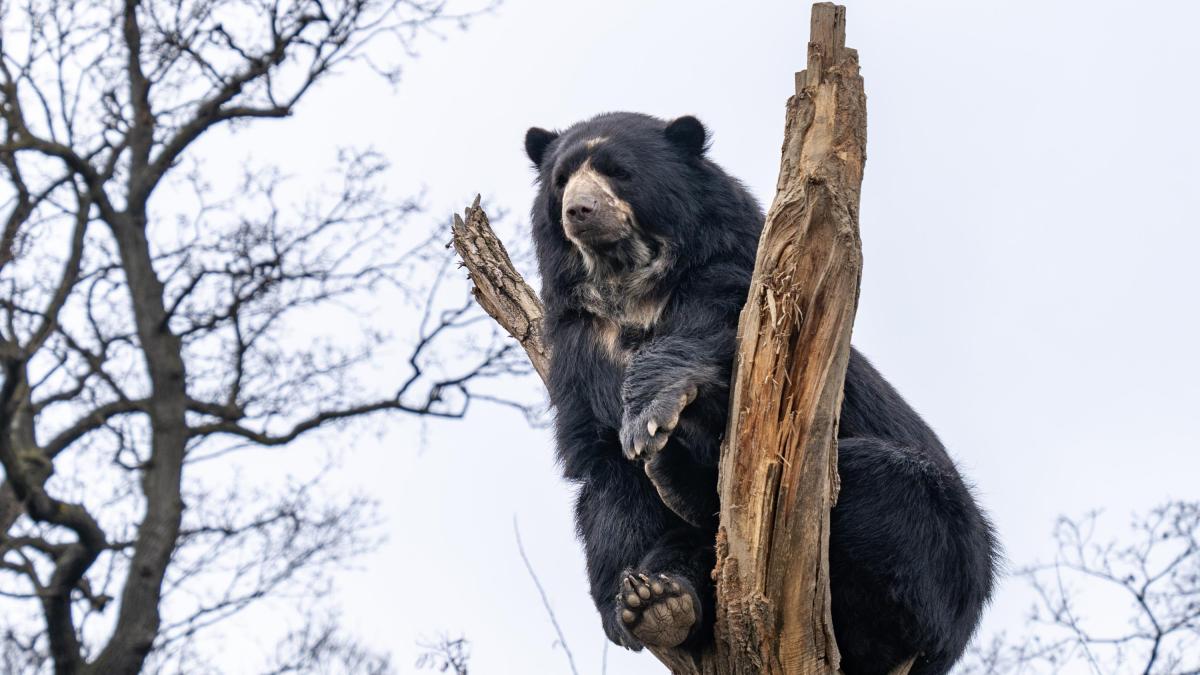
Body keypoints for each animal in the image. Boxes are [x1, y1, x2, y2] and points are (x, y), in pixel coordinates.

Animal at [524, 111, 997, 675]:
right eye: (561, 182)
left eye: (619, 172)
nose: (579, 210)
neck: (632, 290)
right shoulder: (580, 353)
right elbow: (605, 480)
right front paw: (630, 605)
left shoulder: (741, 289)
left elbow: (714, 346)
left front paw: (653, 415)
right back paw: (662, 601)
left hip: (943, 550)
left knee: (884, 487)